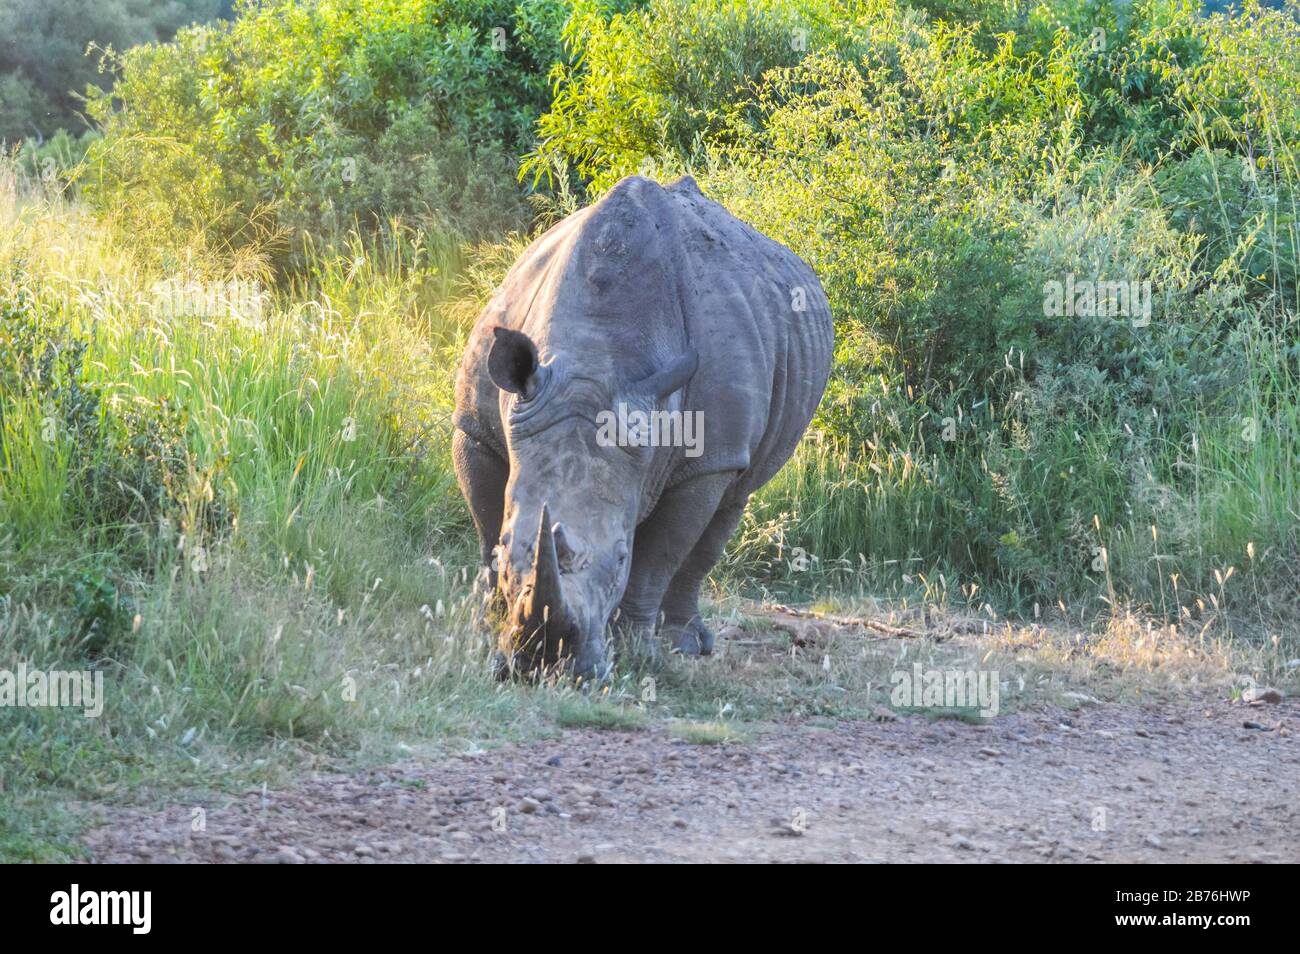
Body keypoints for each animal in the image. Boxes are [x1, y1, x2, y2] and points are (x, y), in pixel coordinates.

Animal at [453, 175, 833, 677]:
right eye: (510, 541)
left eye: (620, 557)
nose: (543, 662)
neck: (592, 357)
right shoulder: (477, 429)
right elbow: (485, 527)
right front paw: (488, 624)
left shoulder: (707, 460)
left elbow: (660, 556)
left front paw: (635, 649)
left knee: (729, 505)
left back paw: (685, 644)